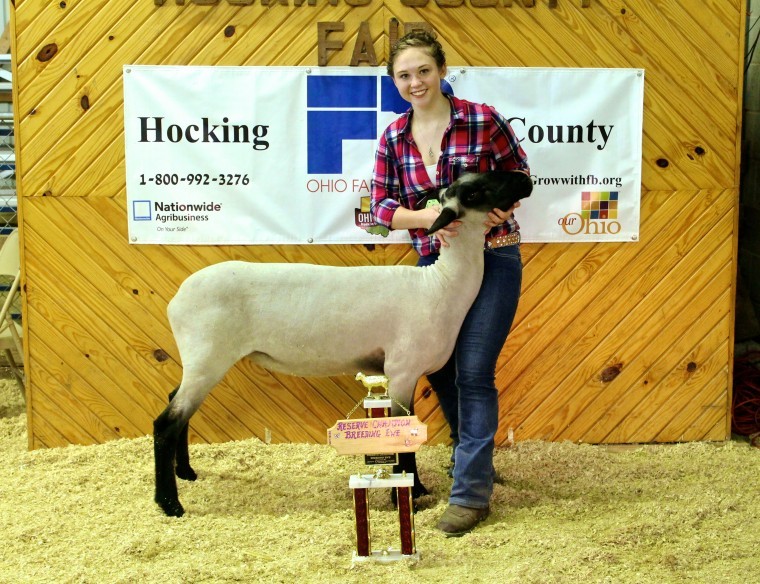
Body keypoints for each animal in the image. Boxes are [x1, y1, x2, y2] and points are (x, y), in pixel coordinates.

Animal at [153, 170, 533, 517]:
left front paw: (414, 490)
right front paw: (405, 496)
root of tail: (176, 299)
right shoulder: (402, 371)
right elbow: (403, 436)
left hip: (201, 360)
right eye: (475, 191)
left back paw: (186, 472)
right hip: (208, 357)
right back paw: (170, 503)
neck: (439, 285)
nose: (523, 178)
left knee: (176, 404)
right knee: (166, 423)